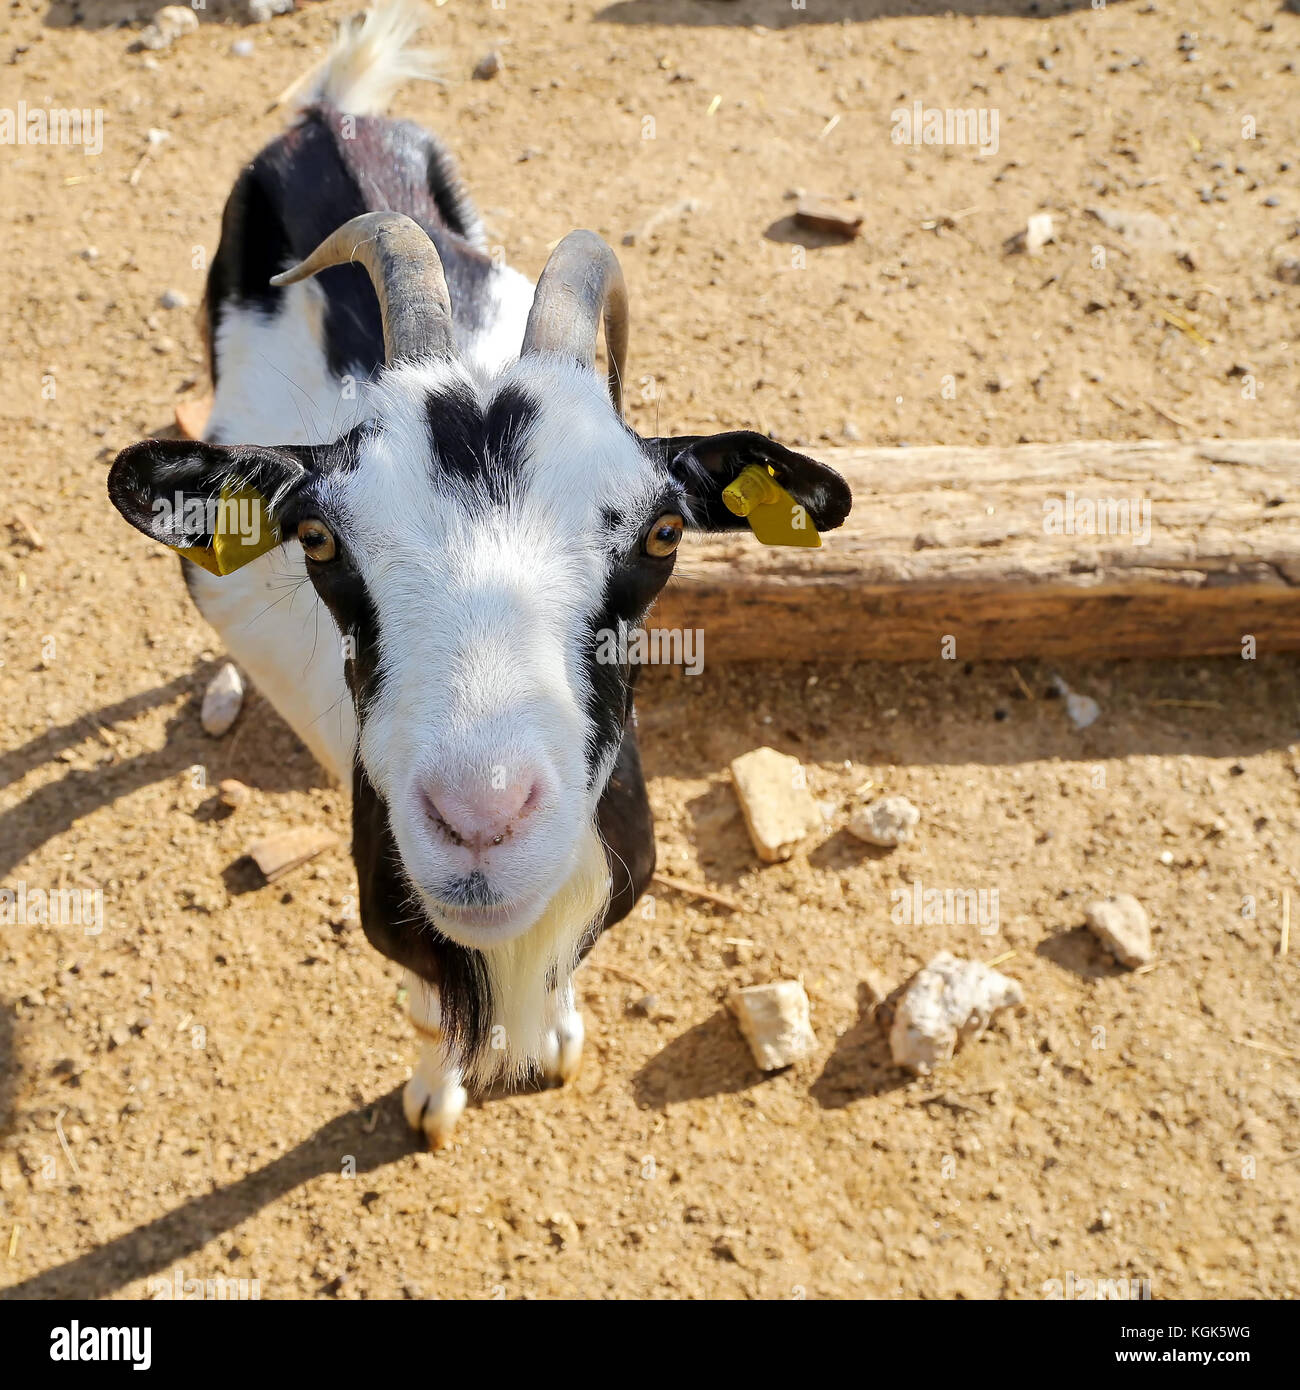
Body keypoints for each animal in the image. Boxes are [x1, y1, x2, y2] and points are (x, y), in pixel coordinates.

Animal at [107, 1, 851, 1147]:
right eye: (318, 538)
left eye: (662, 534)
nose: (482, 823)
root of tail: (332, 118)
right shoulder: (394, 894)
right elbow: (423, 1001)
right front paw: (436, 1098)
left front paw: (556, 1039)